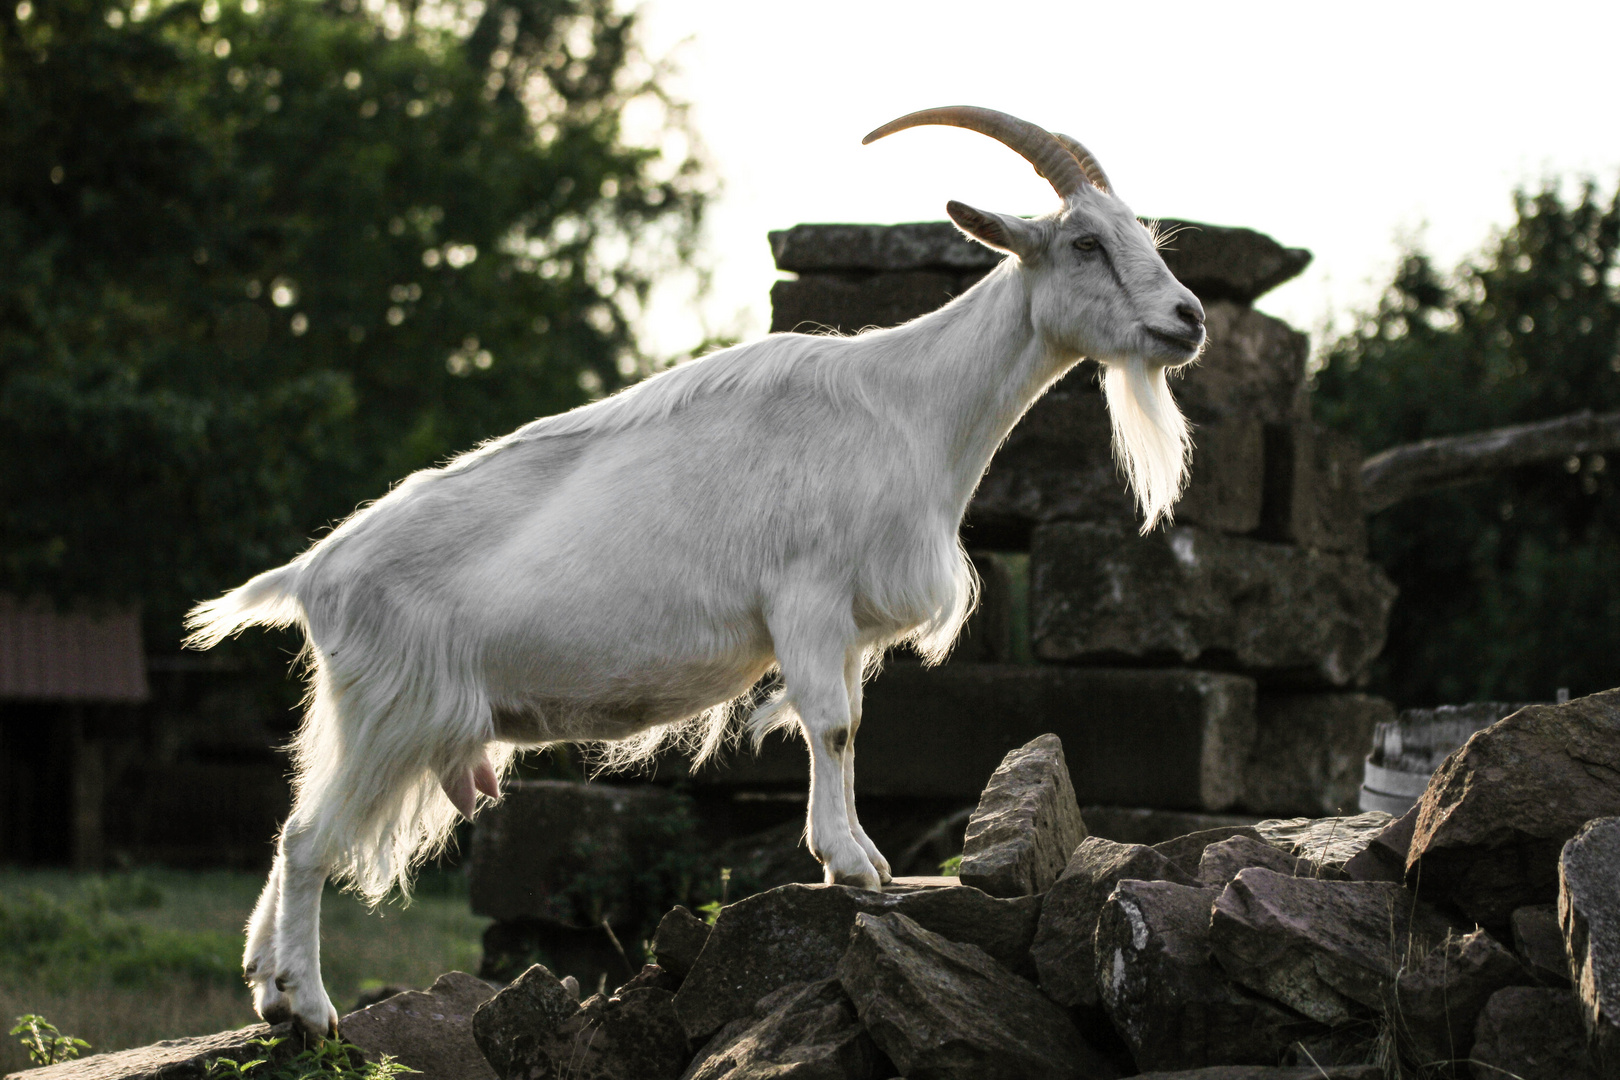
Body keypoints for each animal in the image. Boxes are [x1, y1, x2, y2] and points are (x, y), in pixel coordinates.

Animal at [185, 106, 1205, 1036]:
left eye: (1144, 239)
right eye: (1084, 243)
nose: (1187, 319)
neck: (908, 405)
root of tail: (314, 574)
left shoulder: (842, 622)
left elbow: (850, 722)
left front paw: (857, 855)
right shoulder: (806, 600)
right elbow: (832, 726)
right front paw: (851, 862)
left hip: (366, 713)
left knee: (288, 827)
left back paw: (267, 989)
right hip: (394, 709)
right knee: (307, 839)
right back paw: (312, 1009)